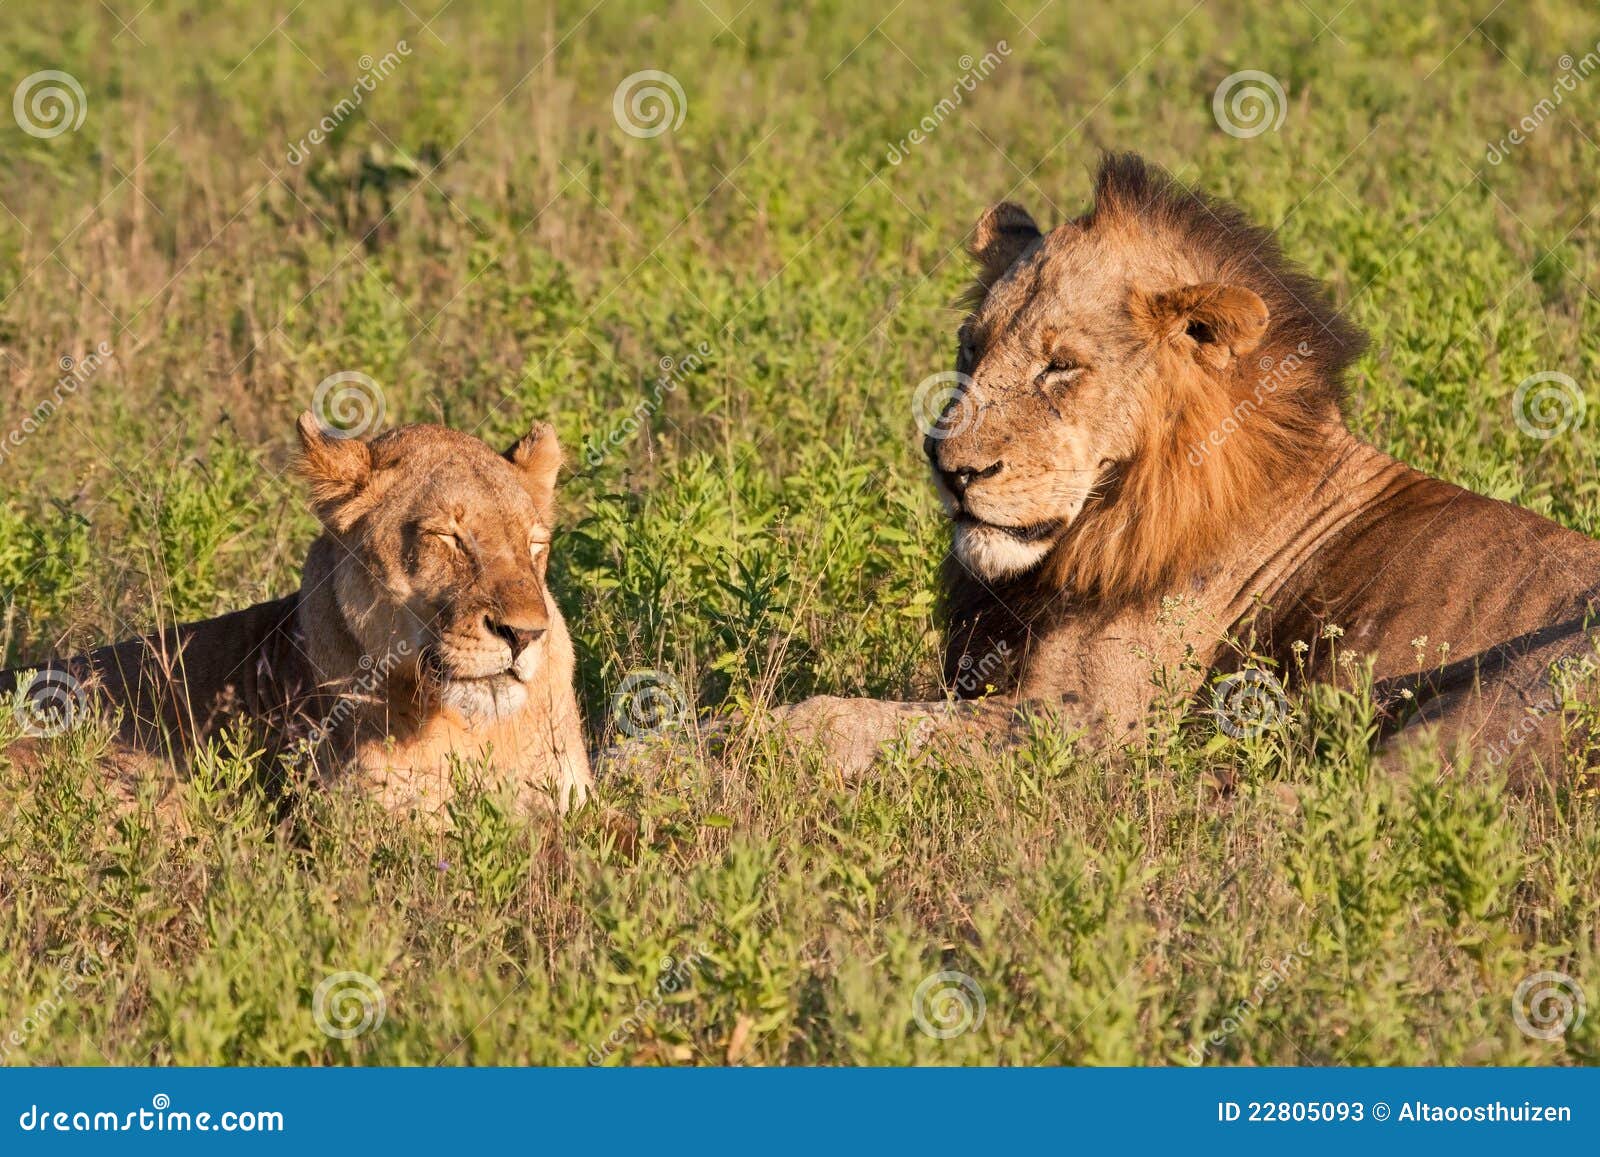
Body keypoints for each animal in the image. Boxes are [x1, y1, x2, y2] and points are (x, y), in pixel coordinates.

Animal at [779, 152, 1600, 785]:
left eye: (1060, 366)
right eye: (971, 347)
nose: (950, 467)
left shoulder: (1086, 725)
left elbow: (846, 720)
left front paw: (755, 736)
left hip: (1501, 693)